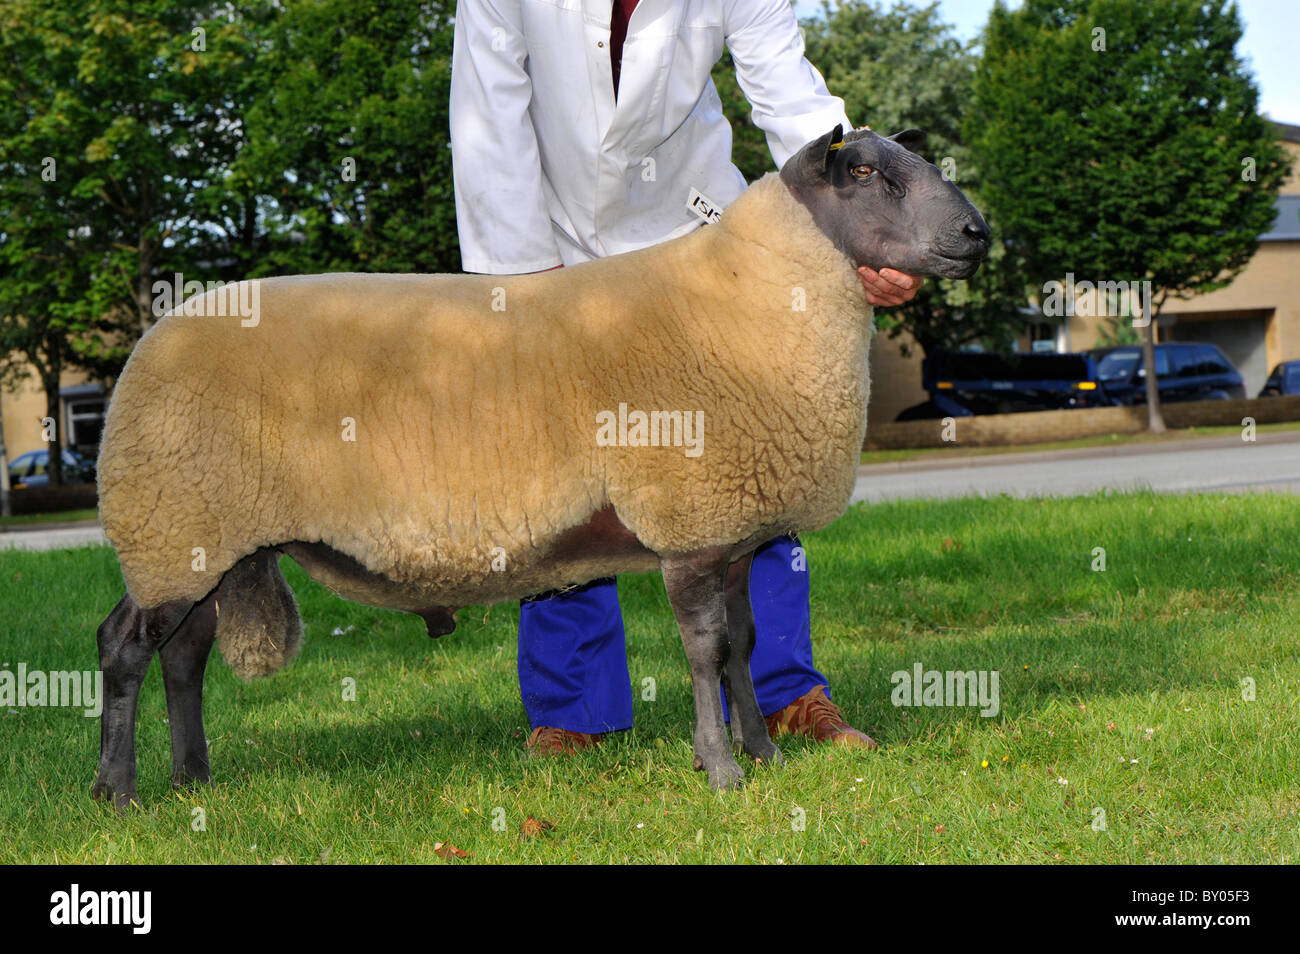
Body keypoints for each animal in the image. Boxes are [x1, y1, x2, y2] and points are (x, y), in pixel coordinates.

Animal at [91, 125, 988, 806]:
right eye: (865, 173)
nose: (977, 234)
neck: (746, 297)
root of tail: (147, 343)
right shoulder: (688, 525)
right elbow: (704, 652)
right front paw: (723, 770)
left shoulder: (734, 531)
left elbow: (744, 643)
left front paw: (764, 756)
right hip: (172, 519)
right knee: (124, 647)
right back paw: (118, 792)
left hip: (203, 537)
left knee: (184, 653)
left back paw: (194, 779)